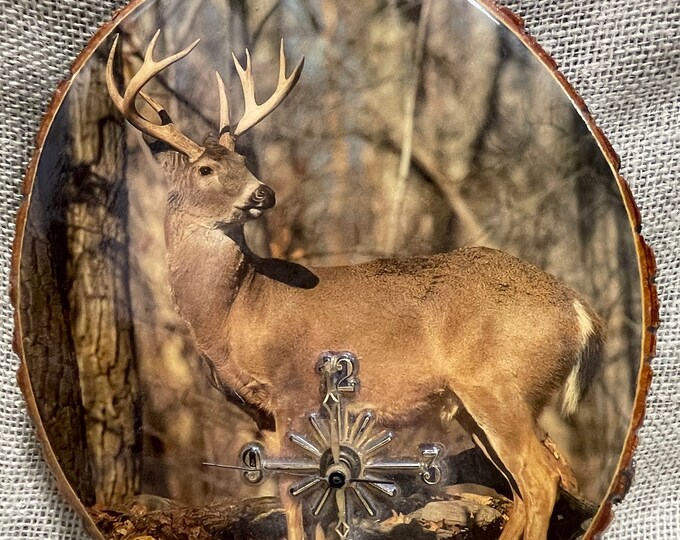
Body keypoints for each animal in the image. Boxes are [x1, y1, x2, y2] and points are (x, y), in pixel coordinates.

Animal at [106, 31, 604, 540]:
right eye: (206, 169)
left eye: (243, 160)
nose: (264, 192)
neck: (236, 311)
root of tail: (578, 309)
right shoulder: (262, 411)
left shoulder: (293, 391)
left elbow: (293, 493)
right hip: (475, 404)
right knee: (520, 487)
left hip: (500, 386)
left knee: (541, 480)